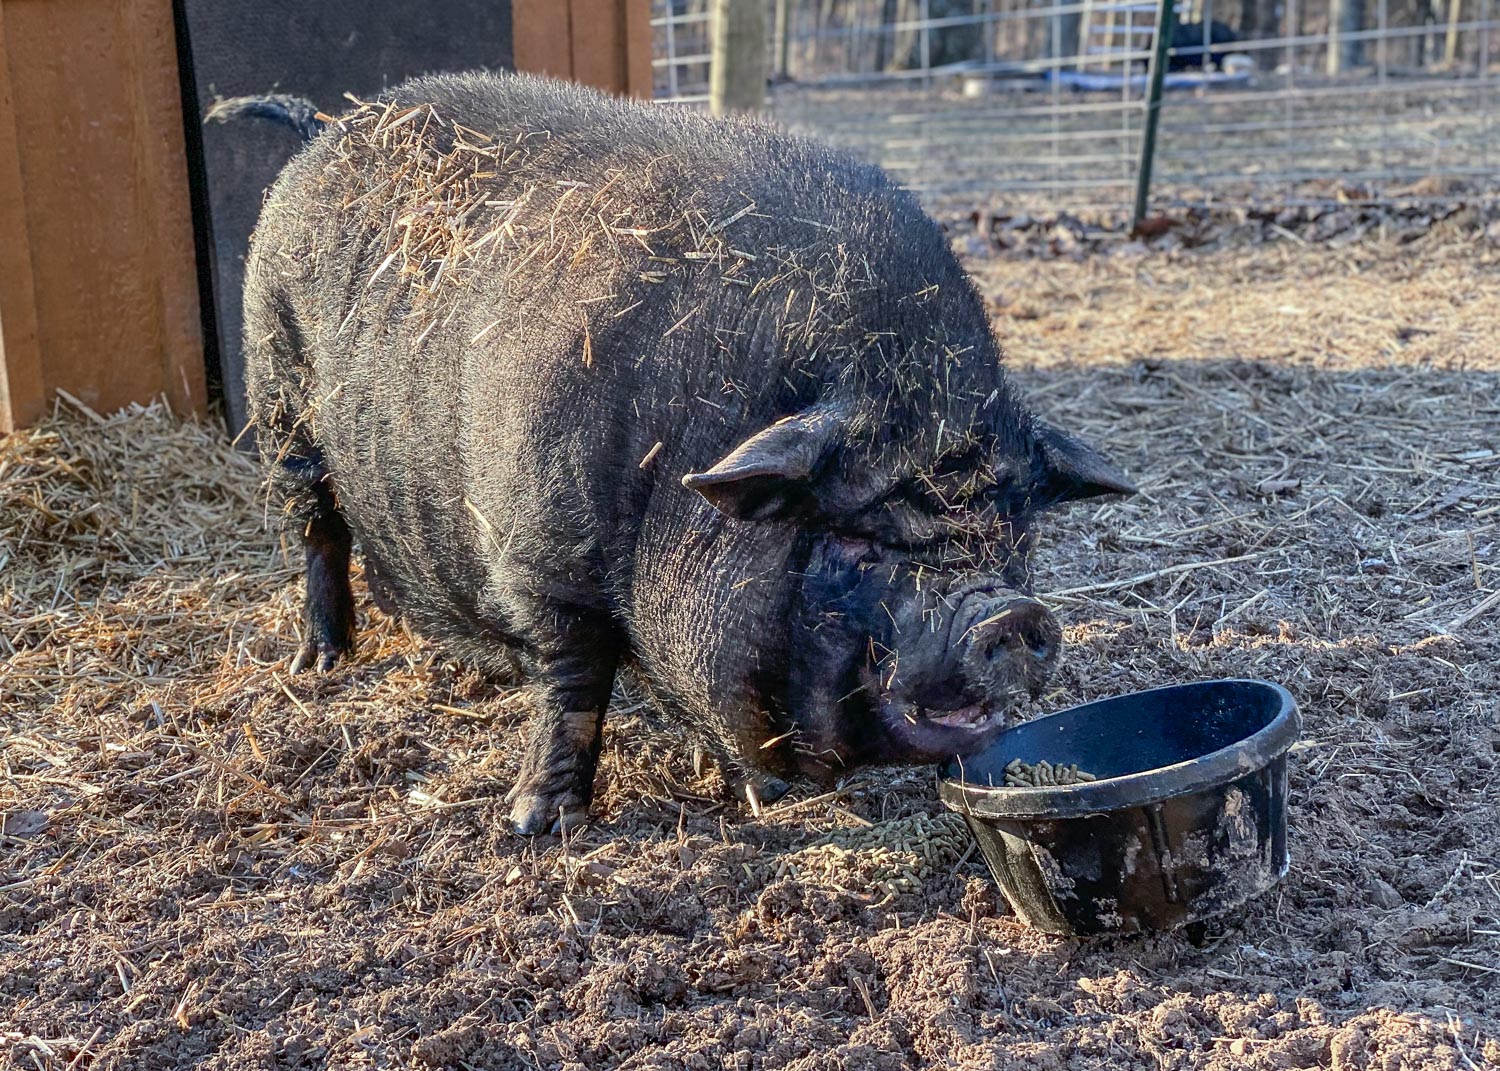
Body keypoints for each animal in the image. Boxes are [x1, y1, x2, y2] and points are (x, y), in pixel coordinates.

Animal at [214, 71, 1135, 835]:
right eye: (855, 544)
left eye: (1016, 533)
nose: (1009, 614)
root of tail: (327, 125)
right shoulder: (547, 557)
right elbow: (574, 684)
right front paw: (538, 827)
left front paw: (755, 793)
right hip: (280, 400)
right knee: (318, 529)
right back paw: (322, 660)